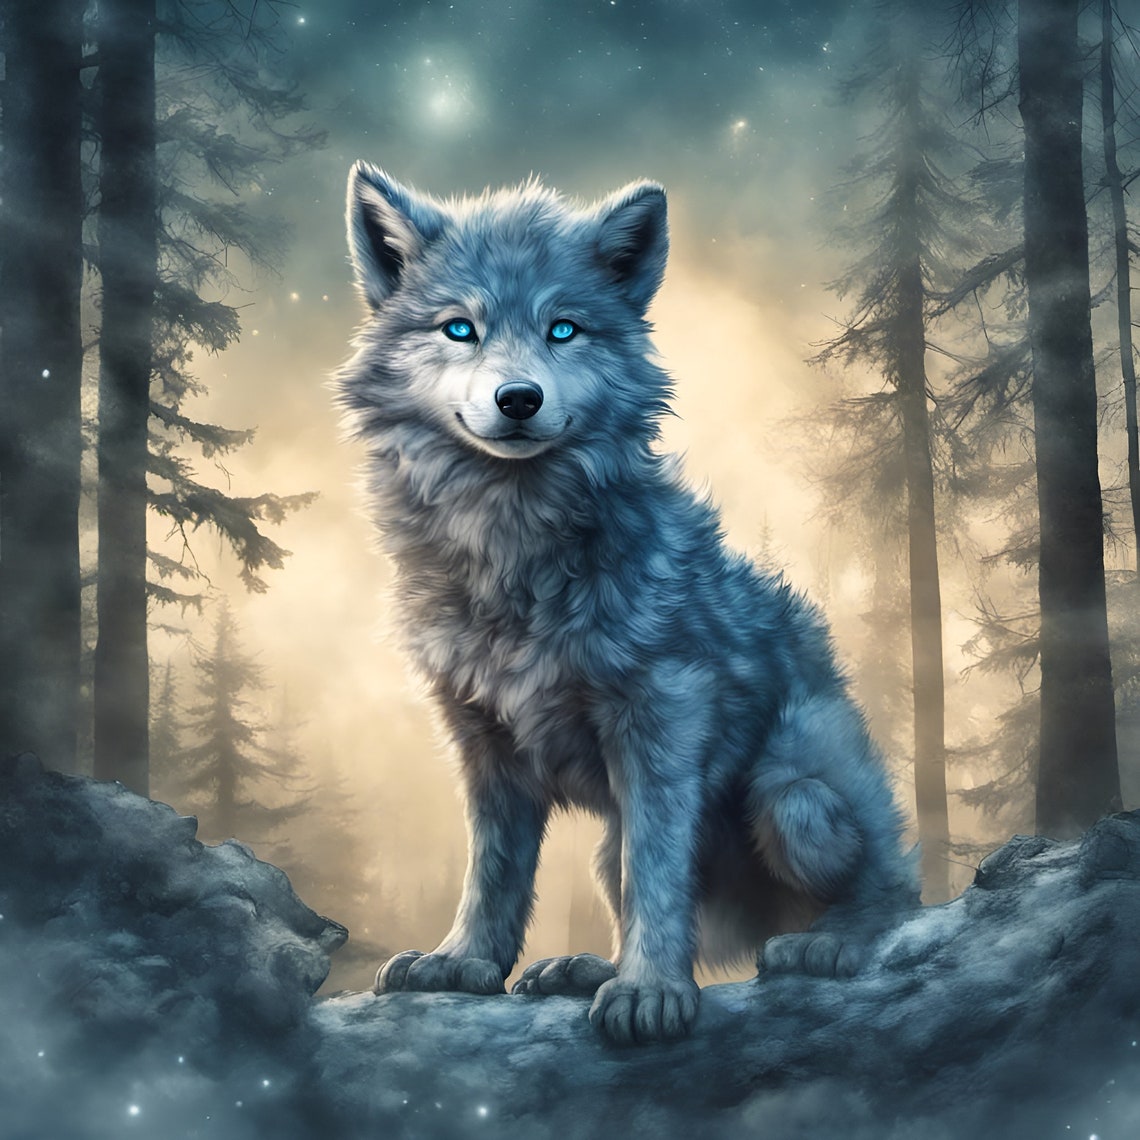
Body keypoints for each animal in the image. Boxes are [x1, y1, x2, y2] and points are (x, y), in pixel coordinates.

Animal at [337, 162, 920, 1045]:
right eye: (459, 329)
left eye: (564, 329)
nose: (518, 398)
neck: (514, 550)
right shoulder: (481, 739)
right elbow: (492, 869)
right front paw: (463, 963)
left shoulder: (665, 713)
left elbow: (658, 870)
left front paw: (651, 992)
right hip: (609, 848)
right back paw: (582, 970)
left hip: (793, 796)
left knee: (892, 892)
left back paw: (829, 943)